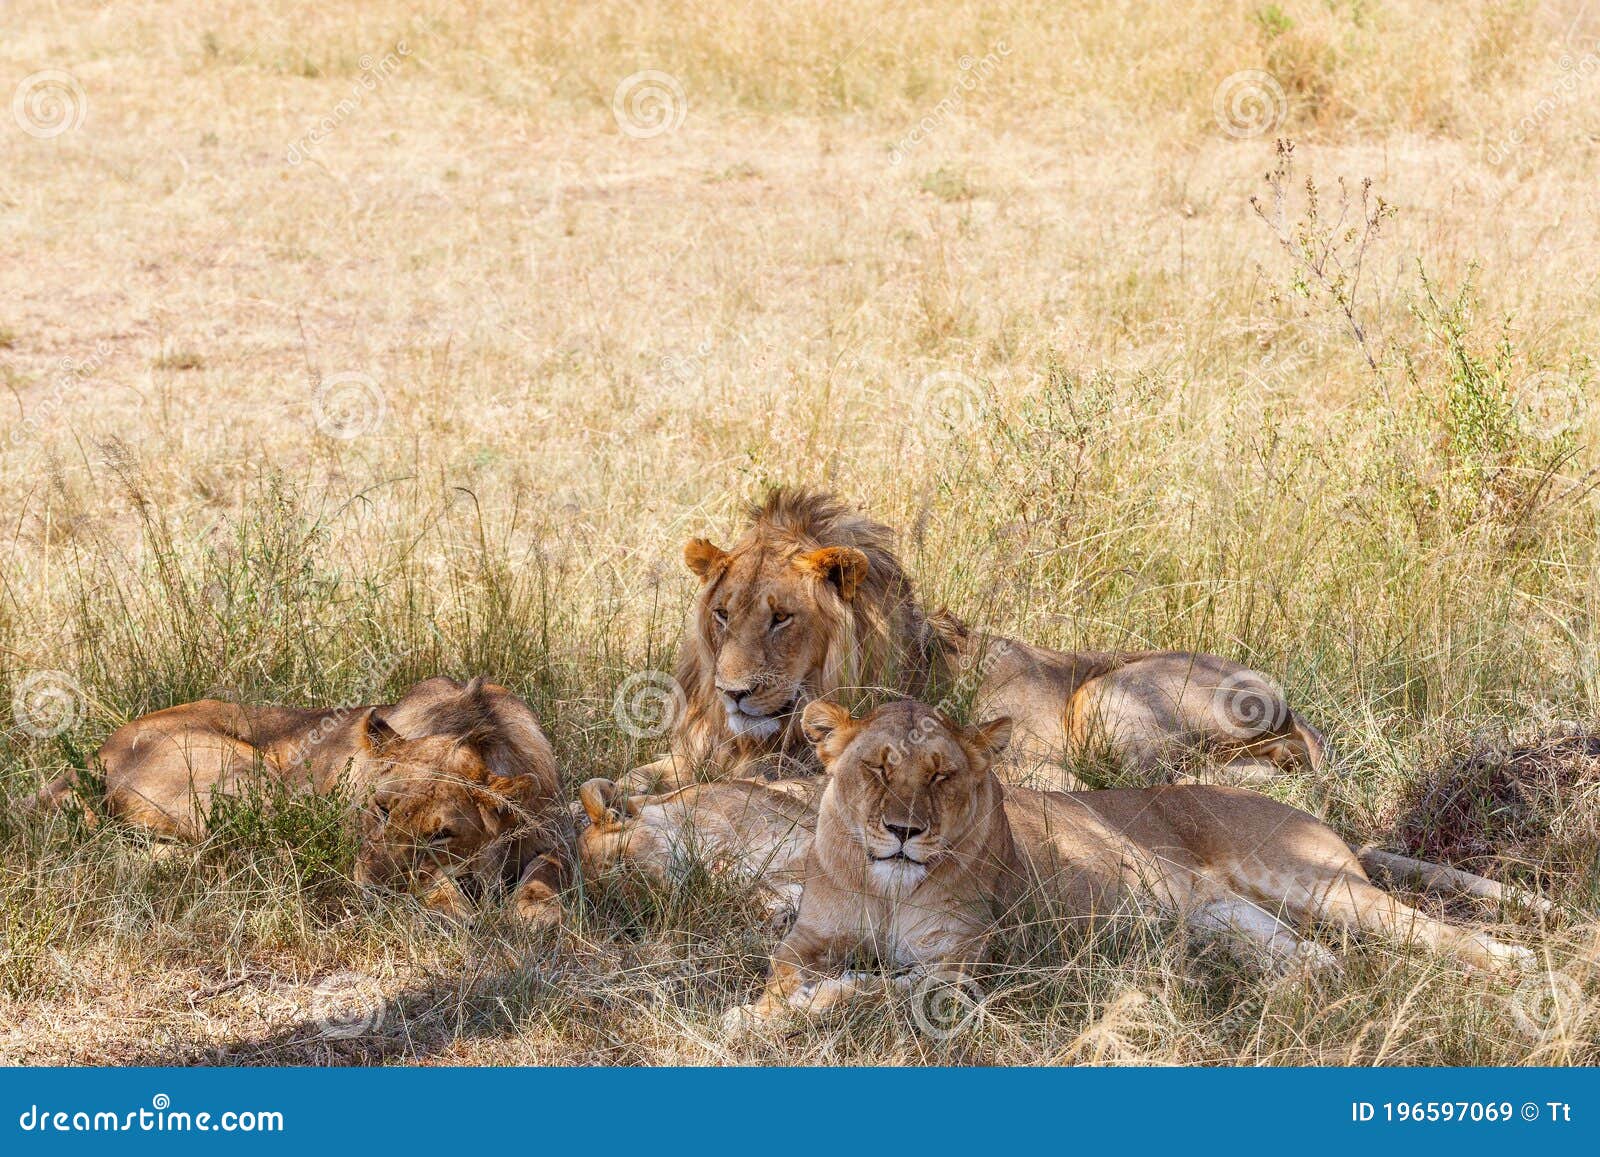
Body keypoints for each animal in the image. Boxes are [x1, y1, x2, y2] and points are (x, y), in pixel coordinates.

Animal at [35, 676, 570, 925]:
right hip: (254, 780)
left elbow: (550, 871)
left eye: (443, 834)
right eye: (381, 809)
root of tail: (93, 755)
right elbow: (437, 885)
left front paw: (536, 914)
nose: (374, 891)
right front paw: (450, 907)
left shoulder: (554, 835)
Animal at [628, 486, 1323, 793]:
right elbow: (641, 772)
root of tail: (1283, 700)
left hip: (1100, 699)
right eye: (723, 615)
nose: (734, 693)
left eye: (781, 618)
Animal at [726, 698, 1535, 1027]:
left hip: (1316, 882)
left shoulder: (954, 972)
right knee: (1323, 962)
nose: (902, 830)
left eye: (942, 775)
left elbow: (870, 993)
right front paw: (759, 1014)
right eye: (878, 768)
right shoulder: (804, 942)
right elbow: (784, 980)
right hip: (1226, 918)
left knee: (1431, 930)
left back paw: (1515, 966)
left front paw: (788, 1013)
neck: (885, 885)